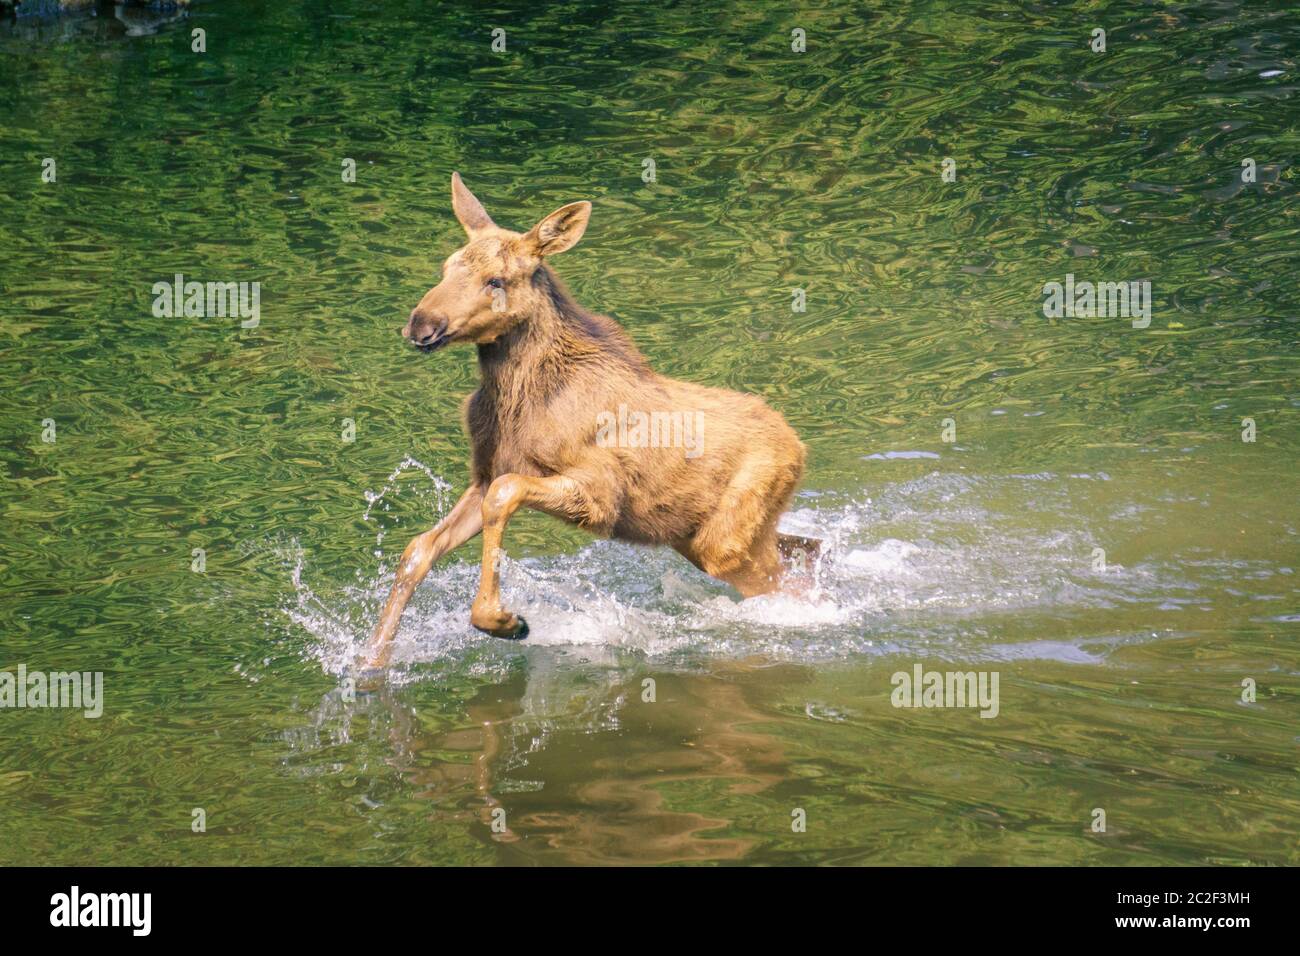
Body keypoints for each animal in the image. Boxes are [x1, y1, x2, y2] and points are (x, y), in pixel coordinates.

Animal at [361, 173, 817, 673]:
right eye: (446, 267)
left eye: (495, 279)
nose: (421, 324)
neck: (514, 402)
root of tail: (800, 448)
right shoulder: (484, 473)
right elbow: (418, 548)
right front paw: (370, 658)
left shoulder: (598, 495)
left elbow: (505, 495)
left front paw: (503, 621)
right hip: (706, 538)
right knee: (807, 547)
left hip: (726, 545)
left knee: (790, 584)